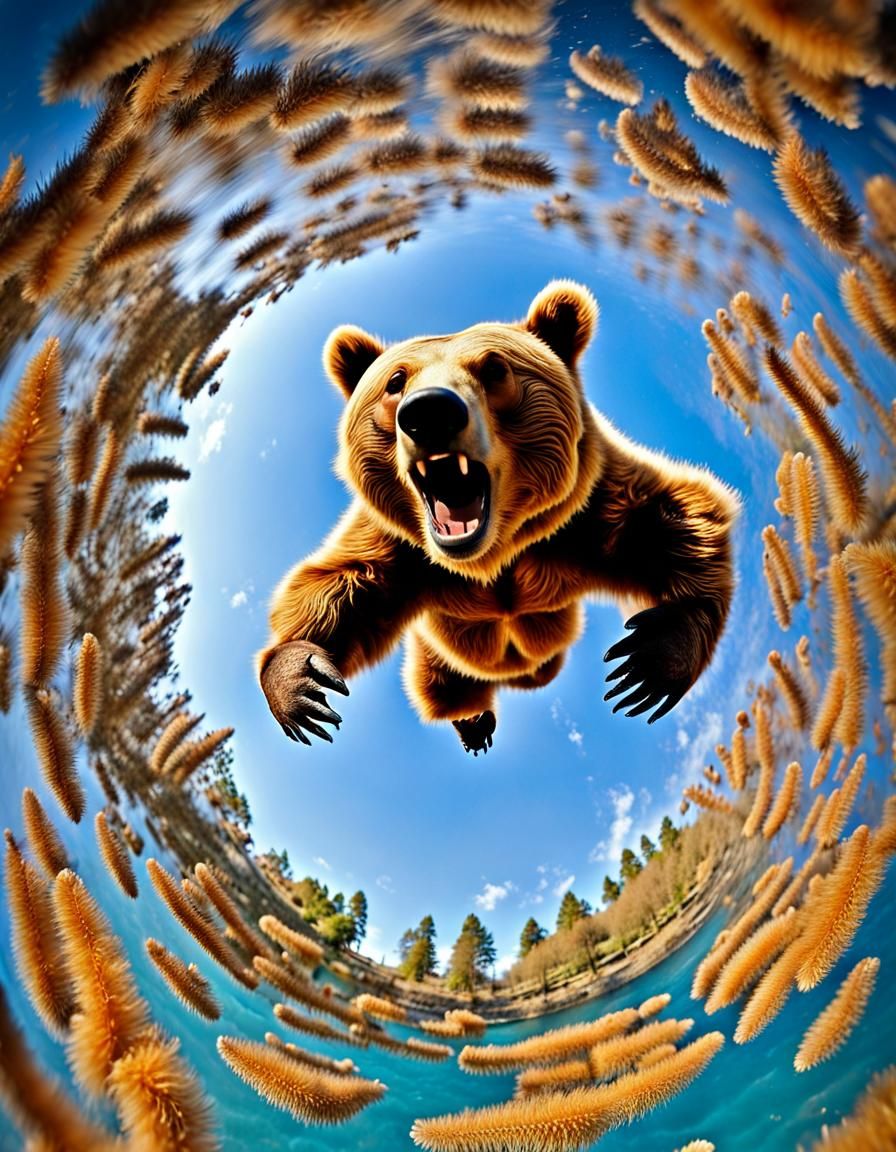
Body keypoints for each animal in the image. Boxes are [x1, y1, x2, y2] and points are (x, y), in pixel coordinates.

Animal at [258, 280, 739, 755]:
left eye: (494, 368)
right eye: (395, 381)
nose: (429, 411)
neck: (493, 554)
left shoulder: (585, 515)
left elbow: (673, 519)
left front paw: (653, 657)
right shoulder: (403, 550)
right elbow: (341, 583)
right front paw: (300, 680)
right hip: (443, 655)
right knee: (444, 681)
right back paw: (472, 722)